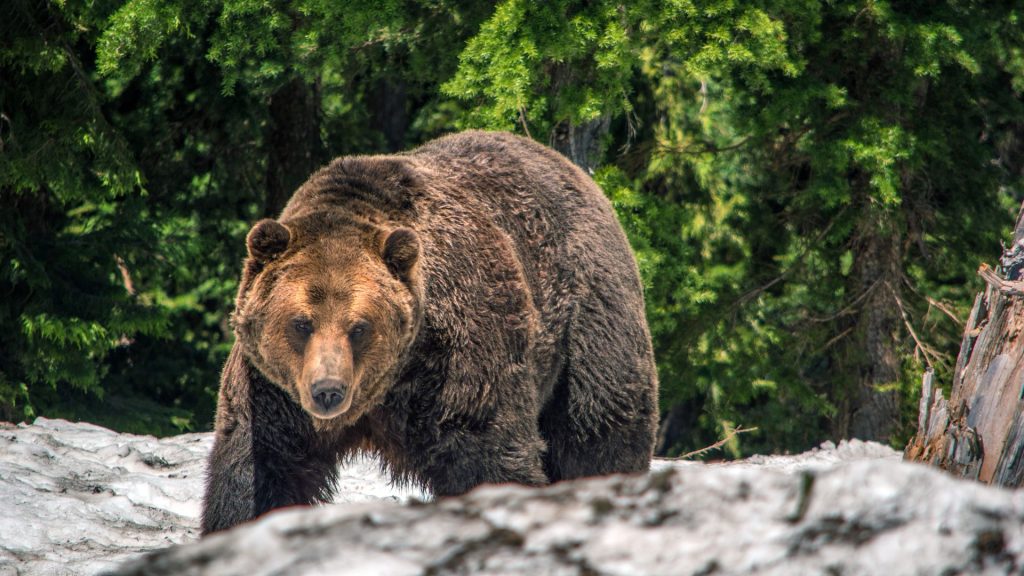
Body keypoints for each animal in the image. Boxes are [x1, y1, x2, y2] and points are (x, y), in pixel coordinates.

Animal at [201, 130, 658, 534]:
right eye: (301, 322)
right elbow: (255, 473)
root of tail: (571, 169)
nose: (327, 390)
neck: (385, 388)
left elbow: (487, 453)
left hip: (587, 313)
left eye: (359, 326)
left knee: (600, 422)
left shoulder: (456, 357)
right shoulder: (272, 392)